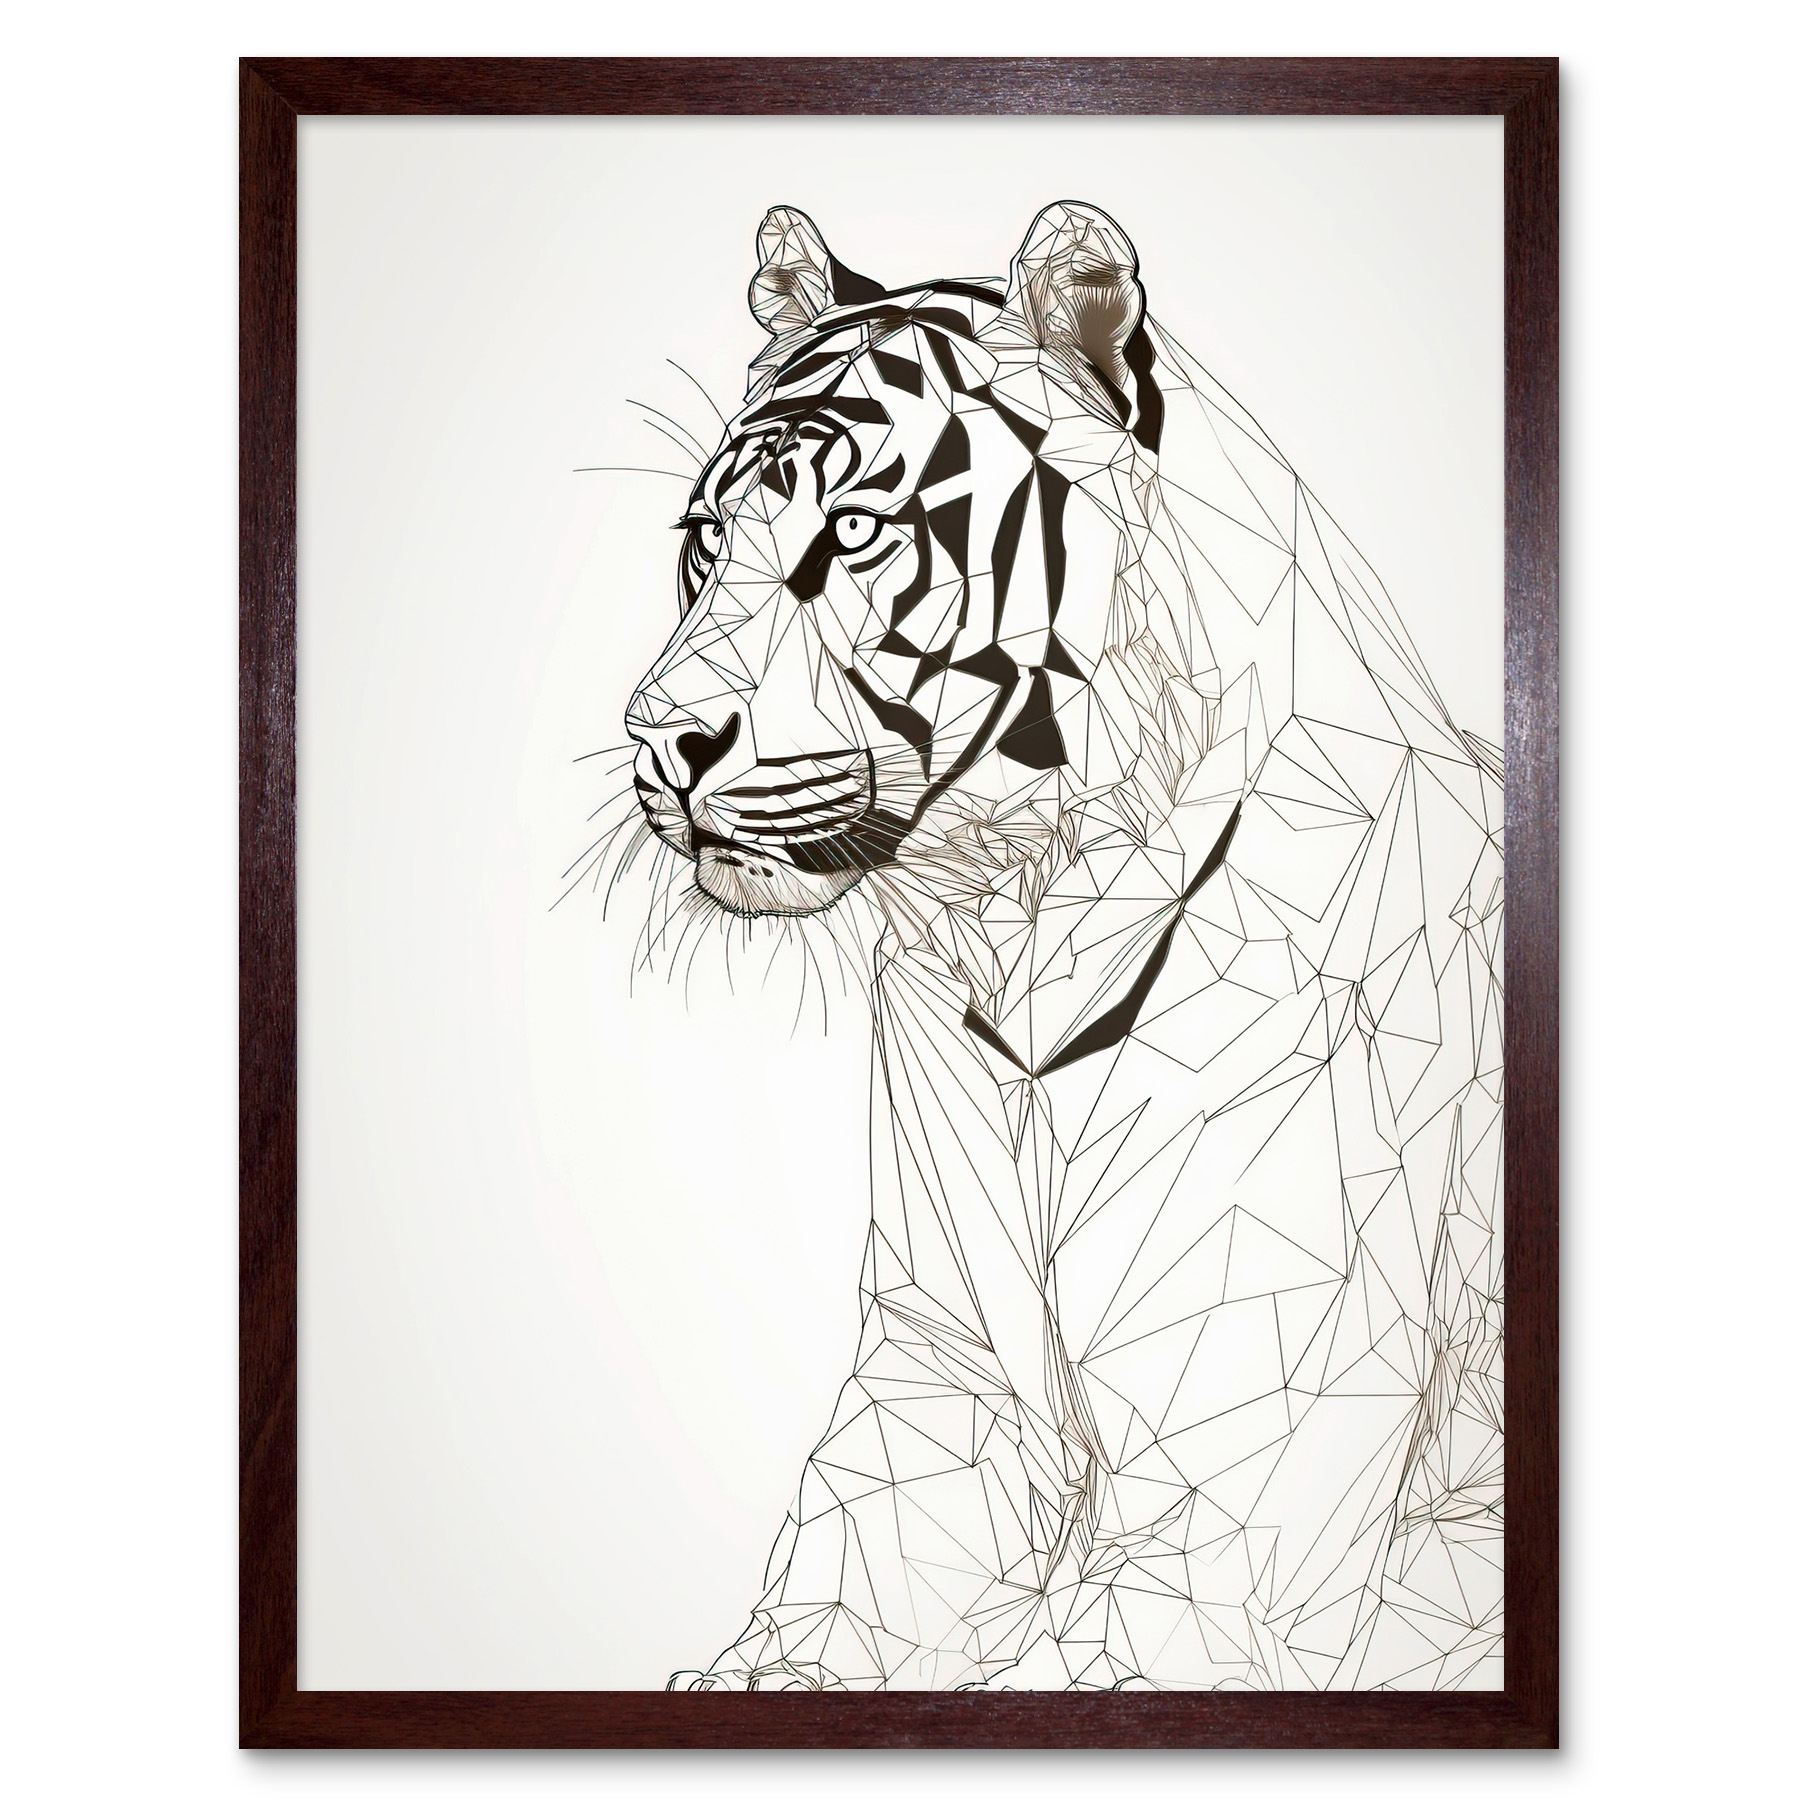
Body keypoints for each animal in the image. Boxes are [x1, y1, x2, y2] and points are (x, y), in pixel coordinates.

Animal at [618, 201, 1505, 1692]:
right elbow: (834, 1582)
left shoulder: (1237, 1463)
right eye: (701, 538)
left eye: (854, 529)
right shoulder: (938, 1383)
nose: (658, 737)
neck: (1009, 931)